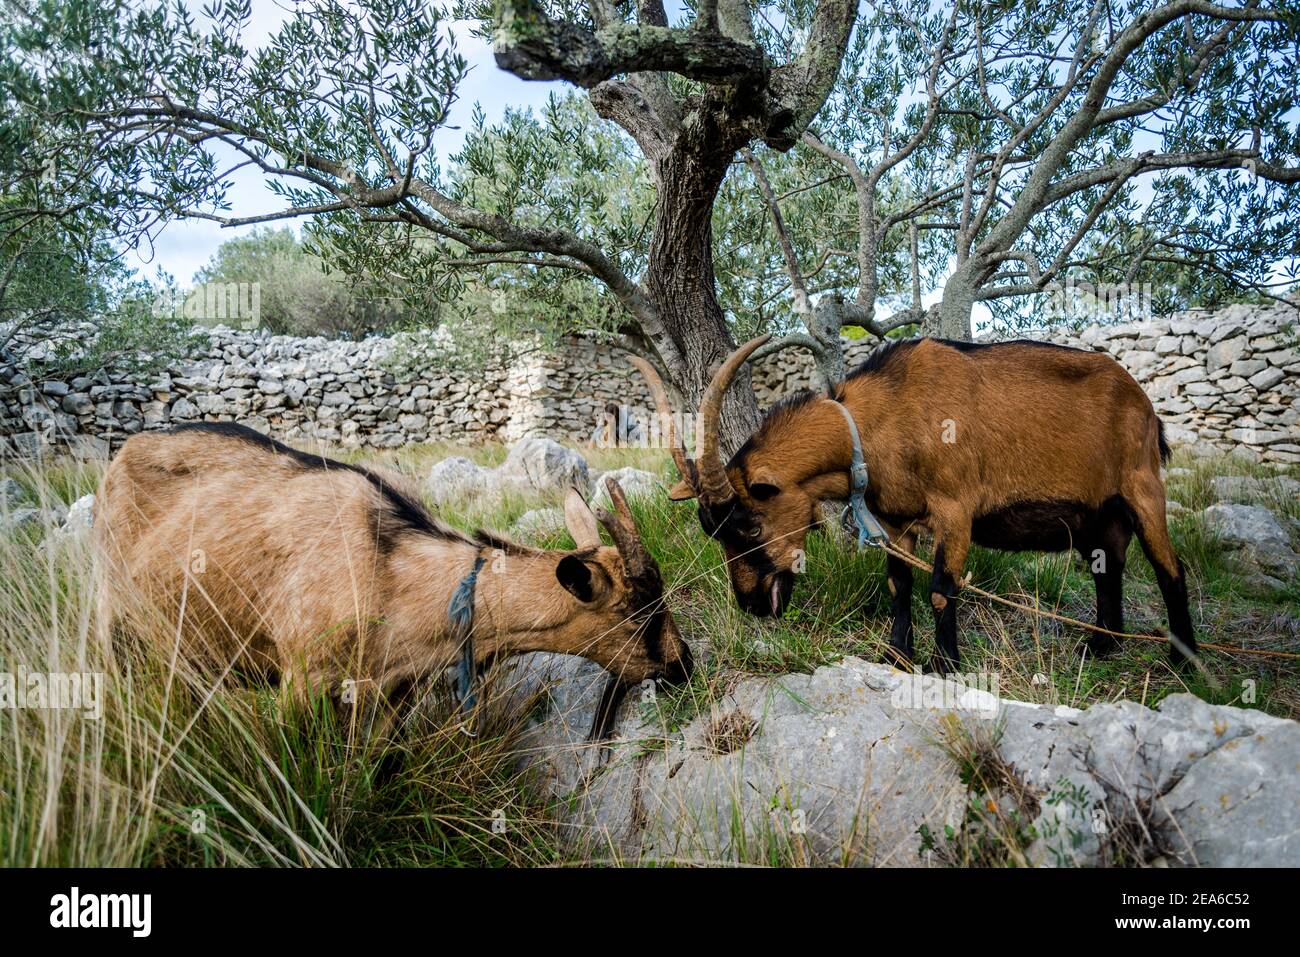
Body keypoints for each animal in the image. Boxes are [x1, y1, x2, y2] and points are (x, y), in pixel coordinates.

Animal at [93, 422, 691, 738]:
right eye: (636, 609)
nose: (682, 665)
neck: (395, 579)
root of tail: (120, 457)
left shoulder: (391, 695)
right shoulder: (301, 681)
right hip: (122, 627)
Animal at [632, 336, 1196, 673]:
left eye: (748, 525)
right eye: (712, 530)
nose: (749, 602)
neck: (881, 420)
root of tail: (1145, 403)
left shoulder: (956, 509)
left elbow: (942, 588)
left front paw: (945, 665)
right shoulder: (895, 519)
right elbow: (899, 584)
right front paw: (898, 653)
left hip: (1142, 484)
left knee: (1171, 569)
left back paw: (1183, 660)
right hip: (1101, 512)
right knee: (1109, 566)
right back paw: (1102, 645)